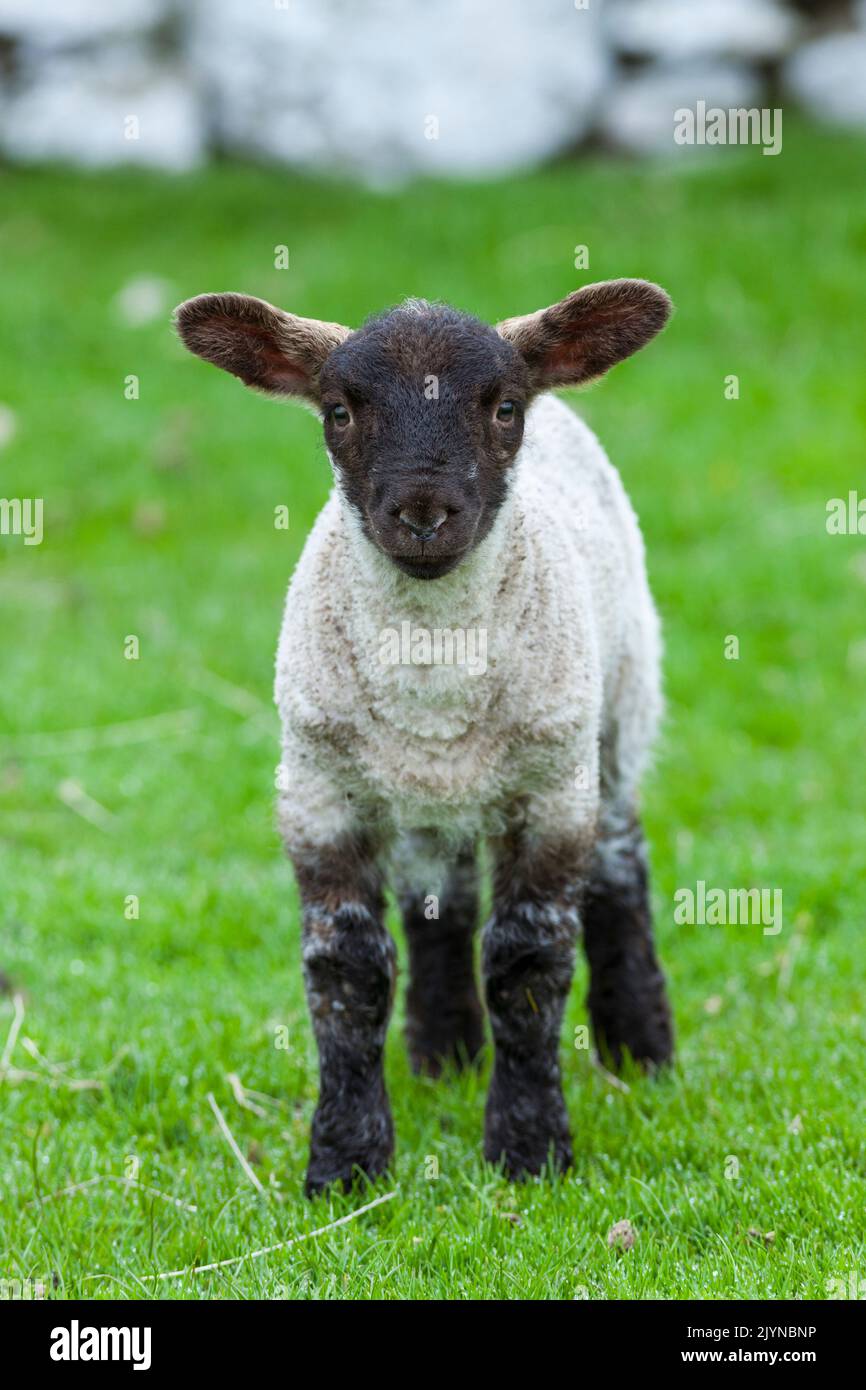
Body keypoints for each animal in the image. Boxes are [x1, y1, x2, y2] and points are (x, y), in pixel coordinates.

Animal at [175, 280, 675, 1194]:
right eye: (338, 411)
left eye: (505, 408)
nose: (423, 513)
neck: (434, 667)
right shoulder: (321, 794)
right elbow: (346, 973)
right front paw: (345, 1164)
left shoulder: (549, 795)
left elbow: (527, 965)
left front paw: (529, 1150)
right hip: (417, 788)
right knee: (440, 893)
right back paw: (444, 1052)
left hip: (618, 711)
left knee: (622, 863)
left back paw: (640, 1048)